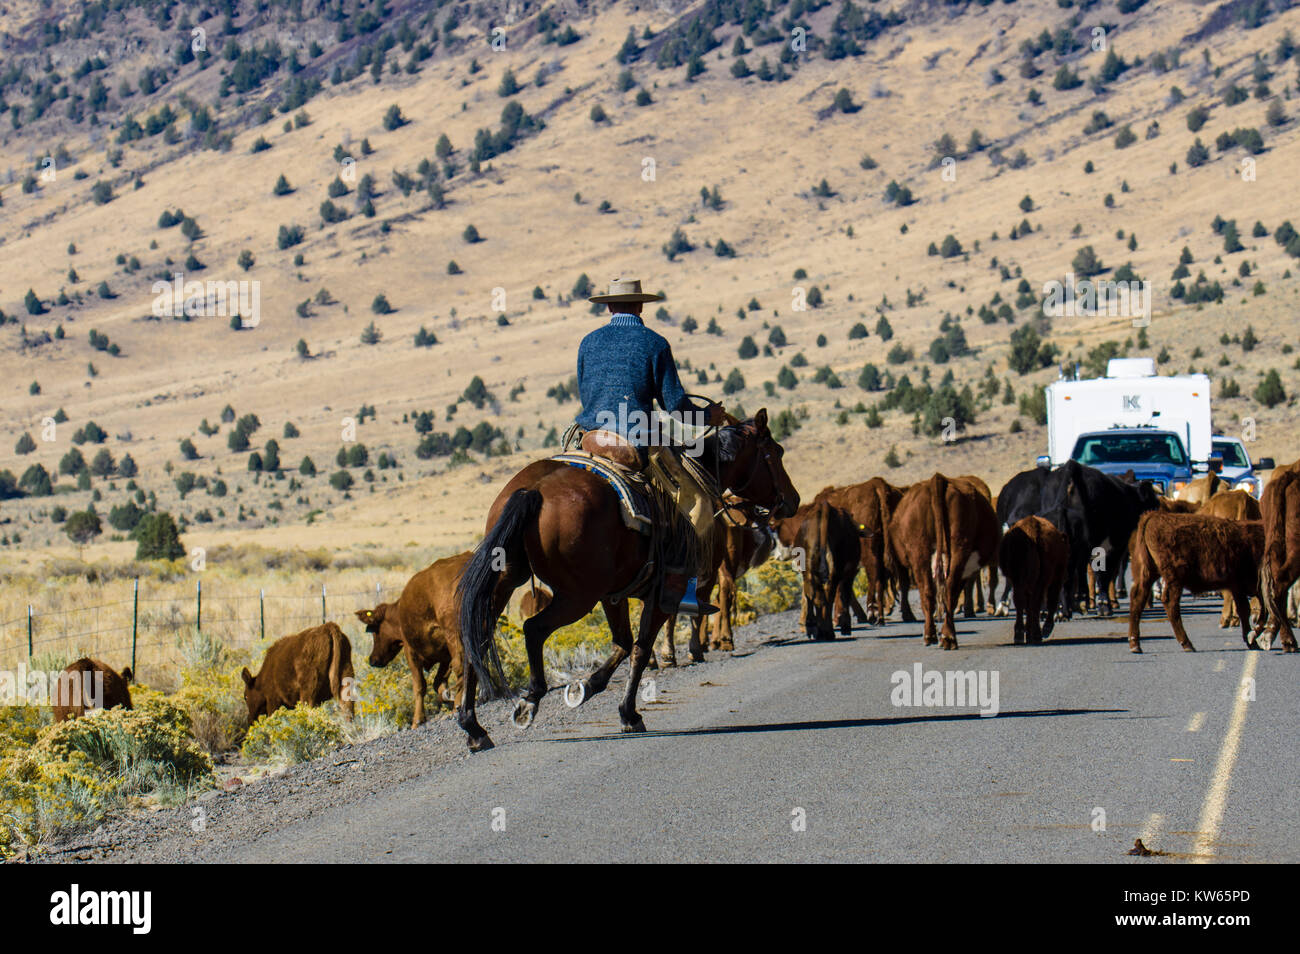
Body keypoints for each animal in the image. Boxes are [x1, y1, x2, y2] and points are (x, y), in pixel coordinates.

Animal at [356, 551, 471, 728]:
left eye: (375, 631)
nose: (372, 660)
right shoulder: (444, 656)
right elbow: (438, 682)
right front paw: (447, 697)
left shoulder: (411, 652)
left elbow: (420, 686)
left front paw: (417, 720)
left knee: (463, 665)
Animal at [887, 473, 999, 649]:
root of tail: (939, 479)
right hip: (955, 549)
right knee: (947, 590)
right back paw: (947, 636)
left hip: (920, 551)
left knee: (930, 591)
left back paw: (934, 635)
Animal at [997, 516, 1069, 645]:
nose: (1067, 575)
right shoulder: (1055, 579)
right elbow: (1049, 602)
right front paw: (1044, 629)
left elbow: (1027, 606)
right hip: (1044, 580)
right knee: (1039, 602)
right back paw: (1038, 633)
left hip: (1019, 580)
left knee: (1021, 601)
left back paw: (1020, 634)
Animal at [1127, 512, 1266, 653]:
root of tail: (1153, 516)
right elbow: (1260, 611)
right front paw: (1253, 637)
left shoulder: (1238, 587)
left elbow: (1245, 610)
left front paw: (1251, 640)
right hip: (1174, 578)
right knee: (1170, 603)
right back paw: (1187, 644)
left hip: (1148, 573)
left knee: (1138, 599)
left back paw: (1135, 644)